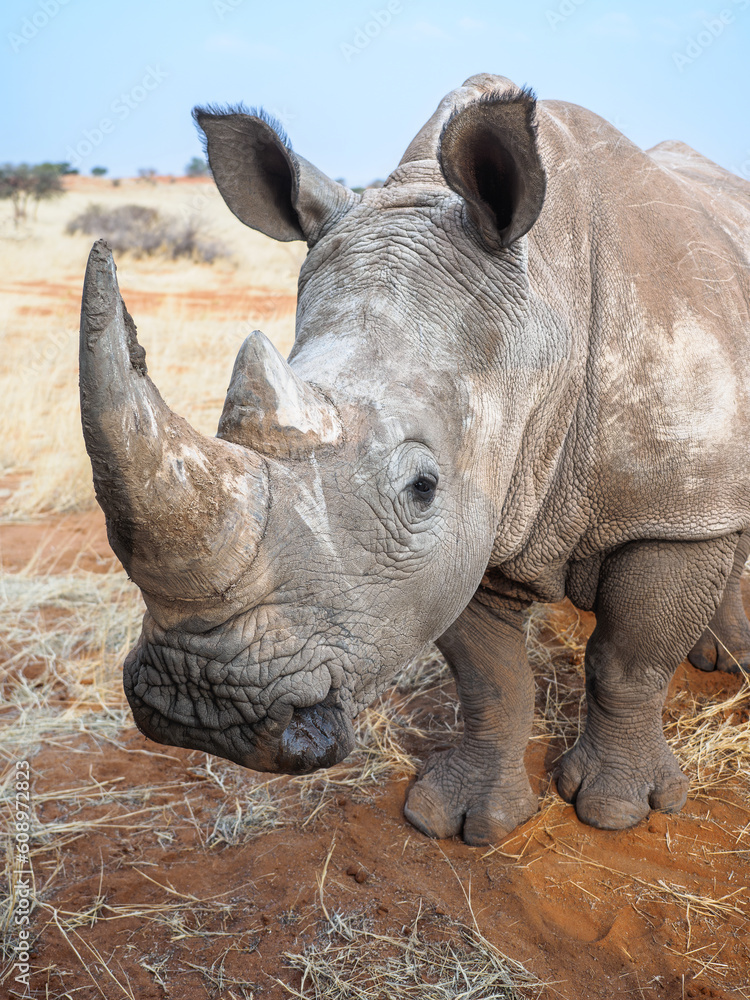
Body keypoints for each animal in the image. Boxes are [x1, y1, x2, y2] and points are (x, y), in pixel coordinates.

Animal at [79, 74, 750, 845]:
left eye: (422, 486)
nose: (198, 701)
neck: (546, 308)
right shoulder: (469, 520)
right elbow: (491, 678)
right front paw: (461, 821)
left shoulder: (674, 506)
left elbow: (629, 661)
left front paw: (616, 812)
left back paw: (725, 662)